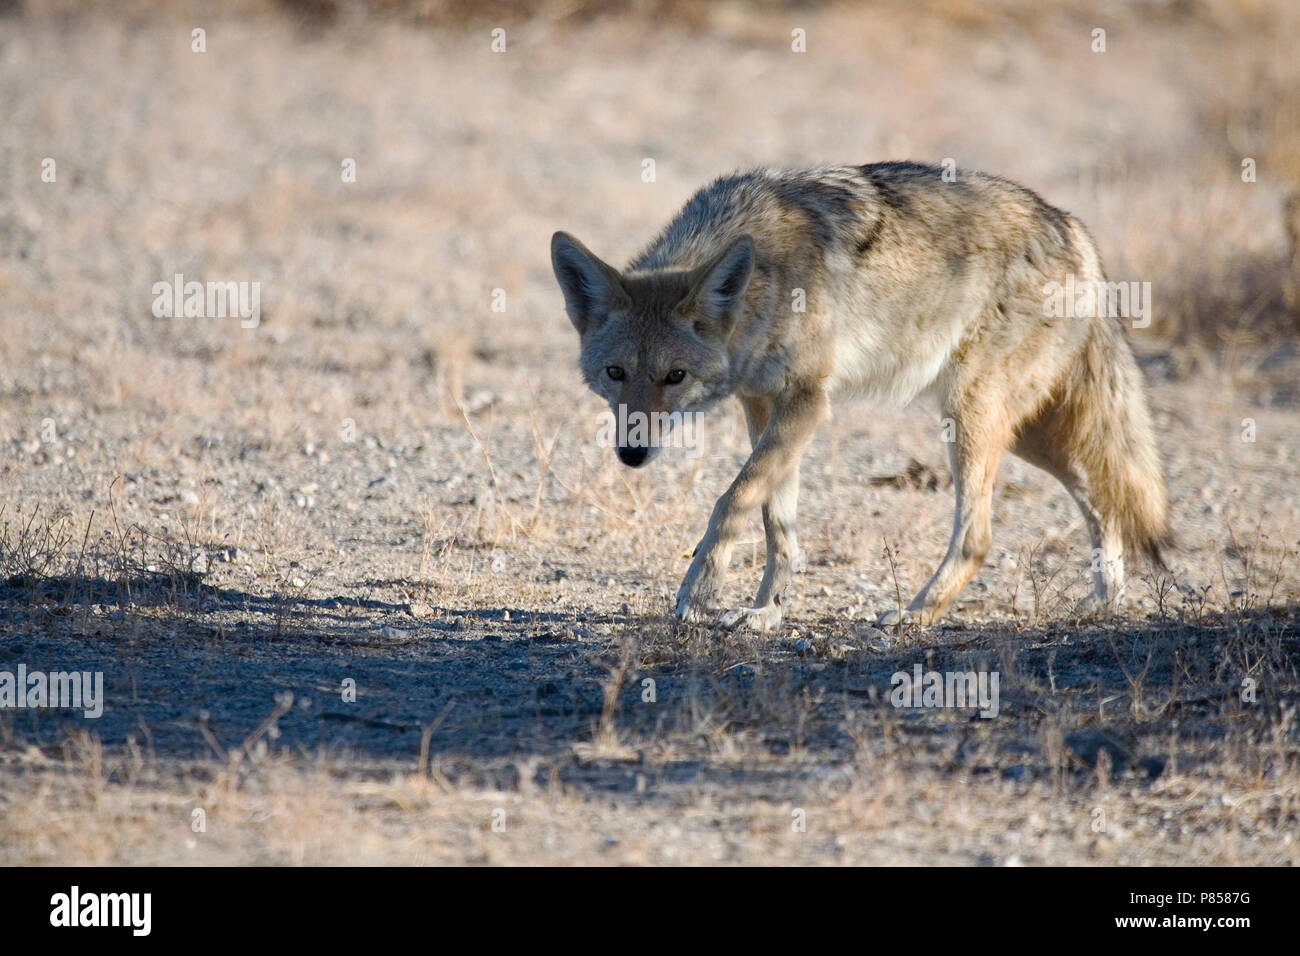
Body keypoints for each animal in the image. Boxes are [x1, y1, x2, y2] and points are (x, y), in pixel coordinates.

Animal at [551, 162, 1168, 631]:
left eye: (674, 377)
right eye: (615, 373)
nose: (632, 453)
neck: (762, 278)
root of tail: (1074, 229)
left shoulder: (807, 404)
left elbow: (733, 499)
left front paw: (700, 591)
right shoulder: (764, 406)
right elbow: (776, 523)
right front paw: (765, 613)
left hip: (971, 418)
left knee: (980, 537)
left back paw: (913, 615)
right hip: (1029, 434)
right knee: (1105, 497)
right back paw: (1101, 603)